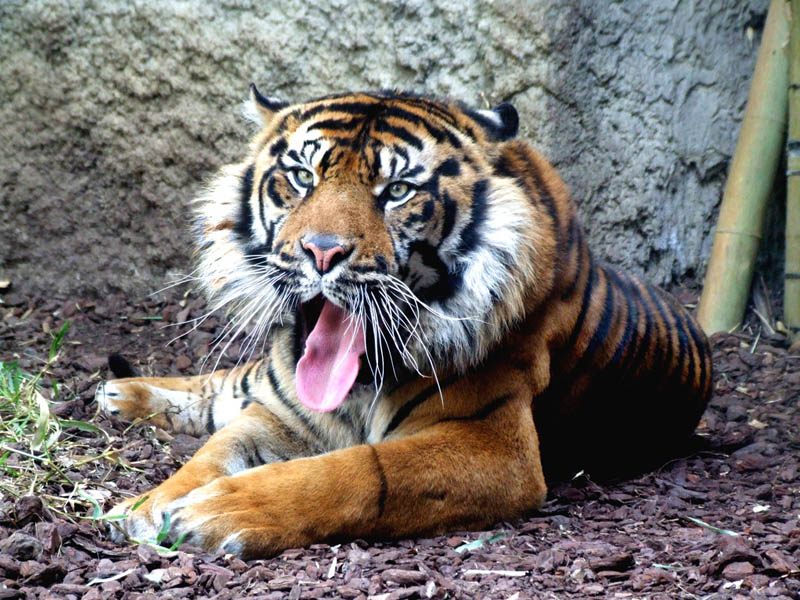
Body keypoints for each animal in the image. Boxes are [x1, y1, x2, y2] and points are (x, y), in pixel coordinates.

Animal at [95, 86, 713, 559]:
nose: (321, 252)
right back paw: (121, 392)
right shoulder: (280, 414)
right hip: (267, 382)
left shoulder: (494, 443)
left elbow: (357, 471)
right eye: (301, 177)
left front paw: (221, 509)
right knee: (223, 389)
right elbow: (213, 452)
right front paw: (150, 505)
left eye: (396, 191)